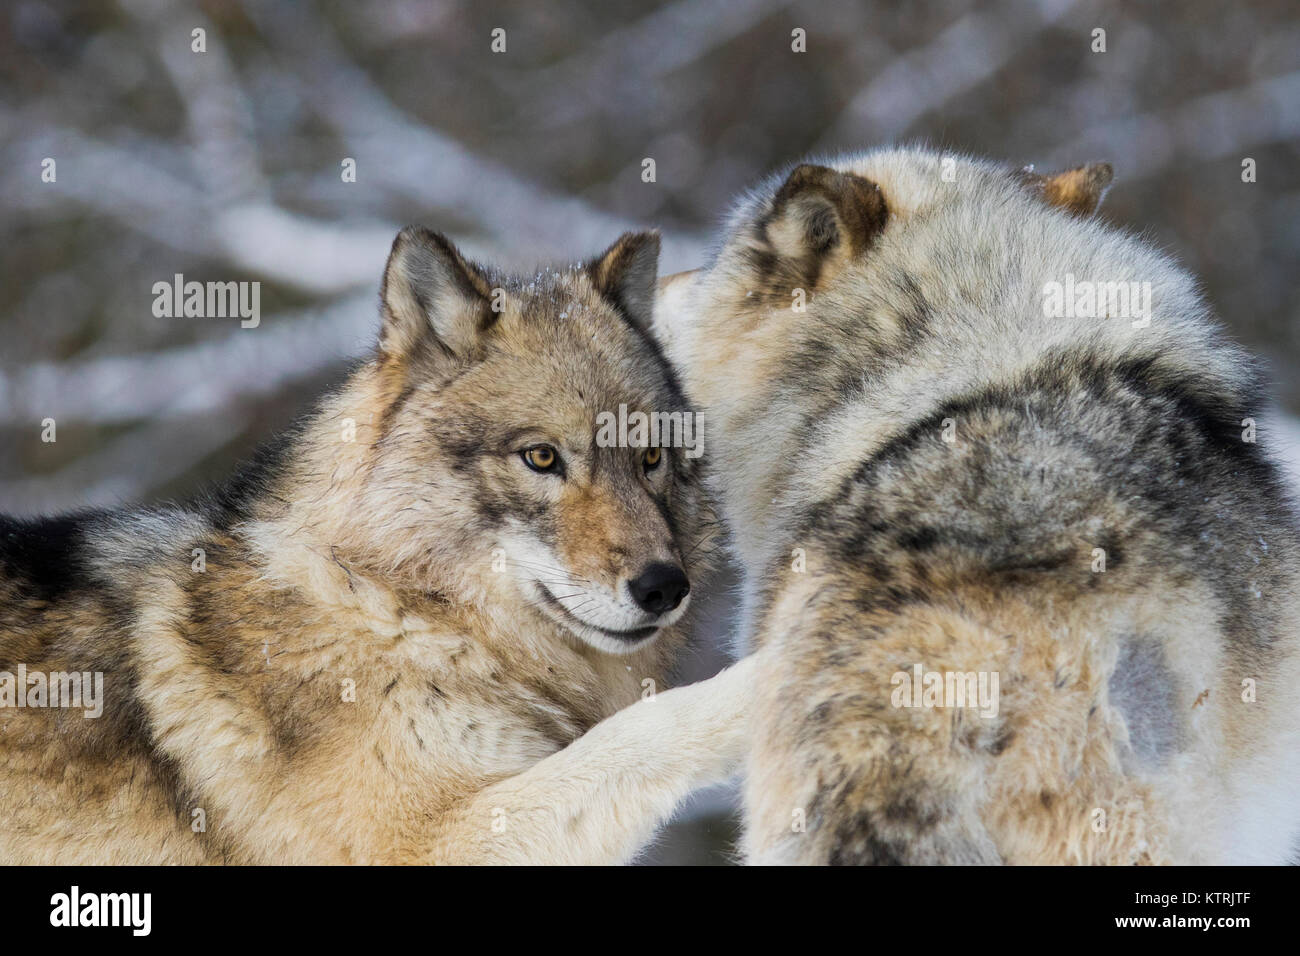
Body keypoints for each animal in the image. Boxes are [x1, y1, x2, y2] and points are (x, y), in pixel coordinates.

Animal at [0, 226, 753, 864]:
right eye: (541, 458)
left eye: (651, 458)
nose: (664, 587)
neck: (394, 606)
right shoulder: (425, 844)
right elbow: (642, 729)